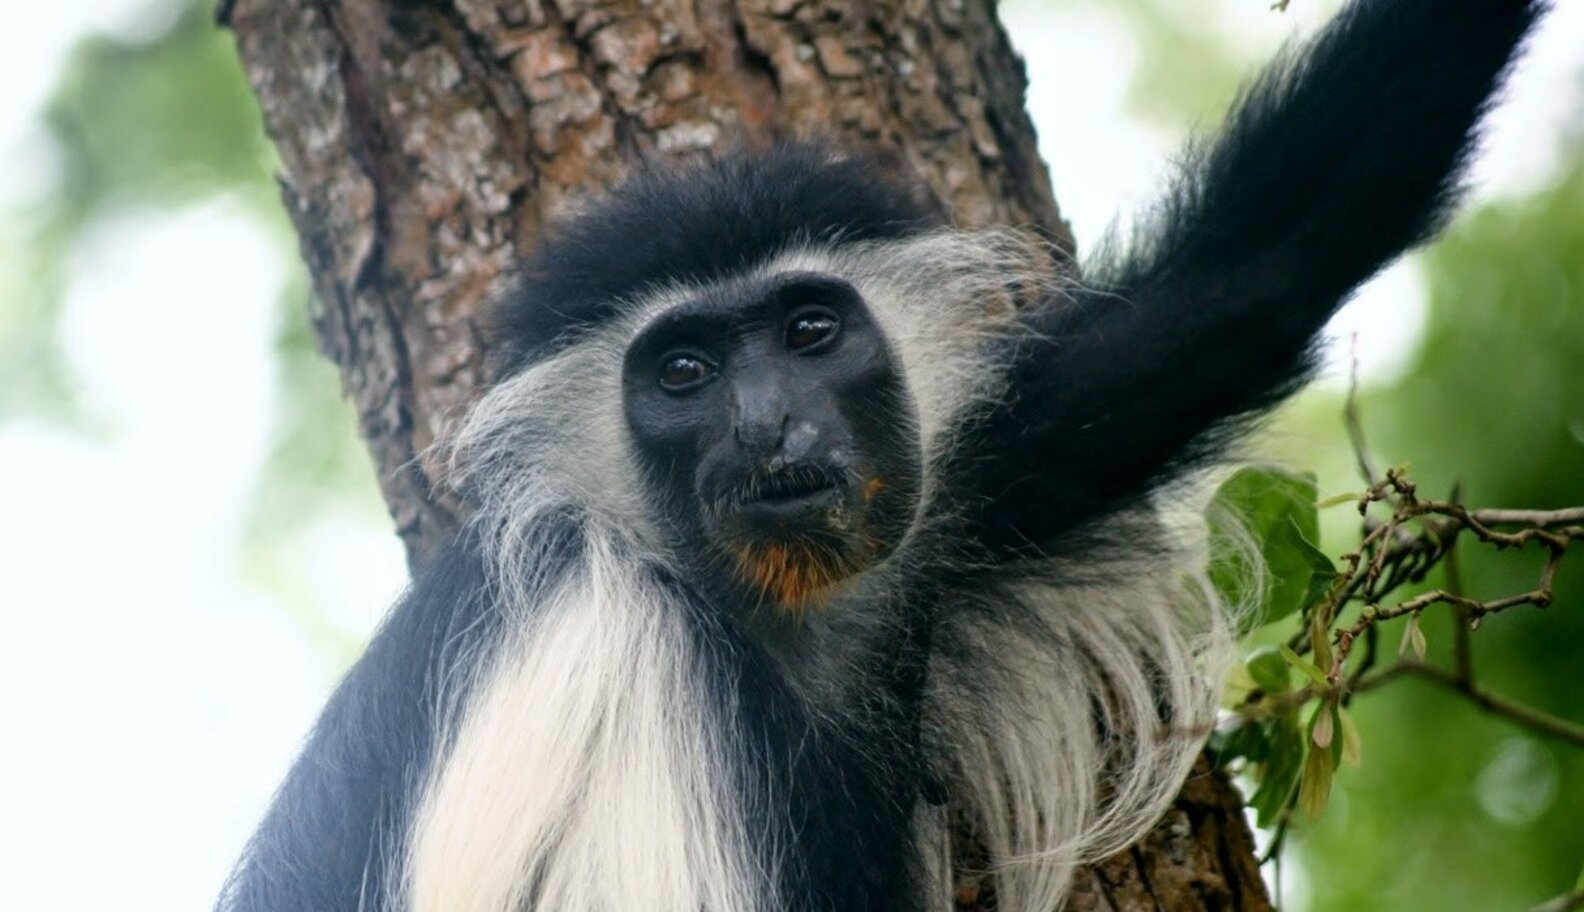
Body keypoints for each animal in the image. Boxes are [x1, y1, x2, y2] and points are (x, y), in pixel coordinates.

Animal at [217, 0, 1546, 909]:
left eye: (810, 332)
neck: (767, 616)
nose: (769, 426)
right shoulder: (636, 663)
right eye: (684, 372)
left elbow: (1250, 279)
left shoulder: (973, 480)